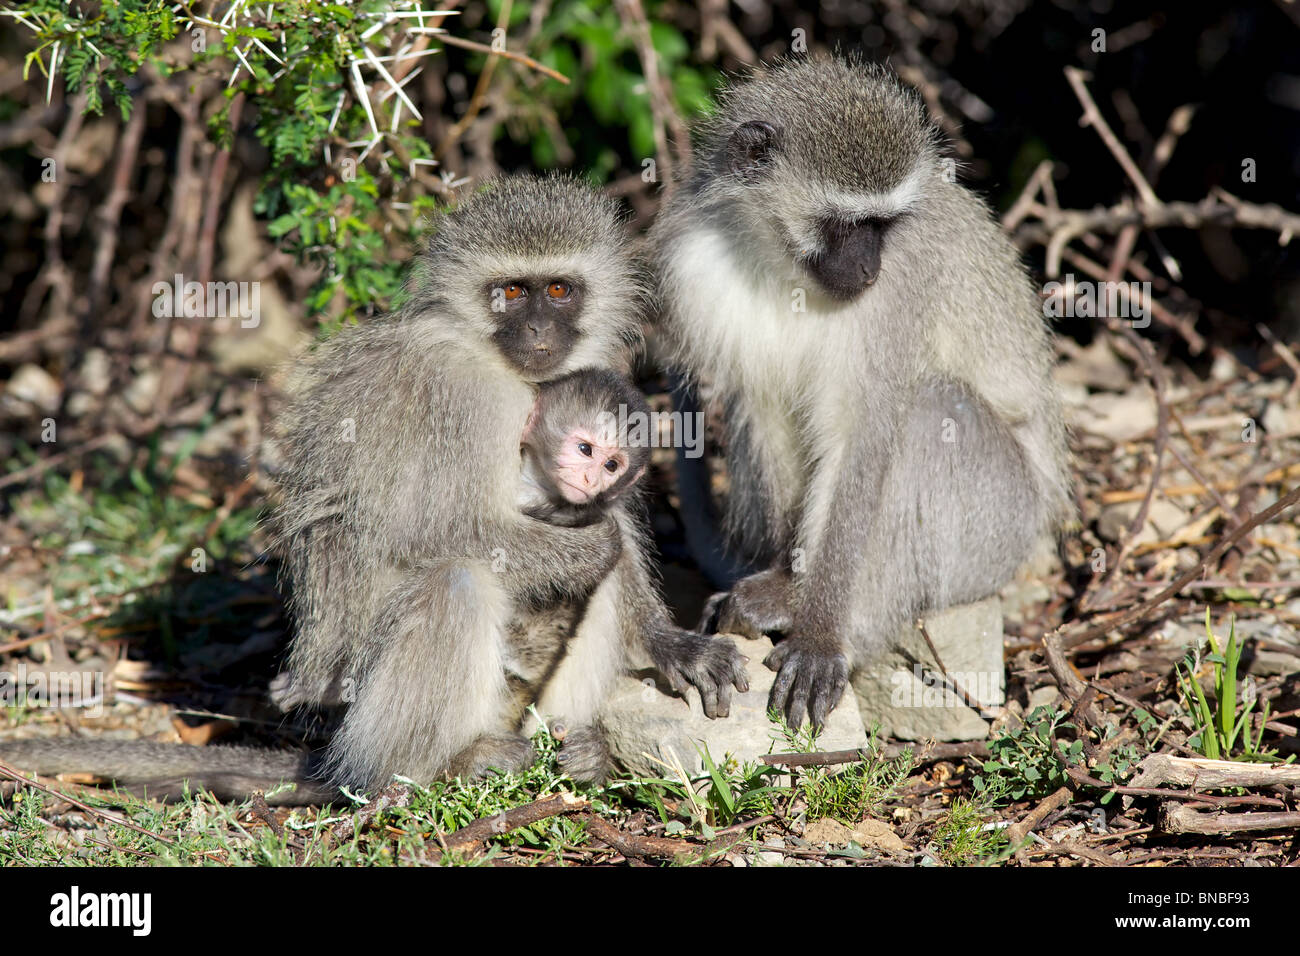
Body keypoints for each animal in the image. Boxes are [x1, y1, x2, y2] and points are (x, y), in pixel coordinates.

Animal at [649, 56, 1072, 732]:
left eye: (884, 226)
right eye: (847, 225)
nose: (869, 268)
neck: (783, 265)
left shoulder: (900, 287)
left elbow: (864, 435)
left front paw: (818, 633)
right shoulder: (696, 266)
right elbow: (764, 411)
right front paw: (782, 580)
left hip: (1001, 530)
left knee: (930, 413)